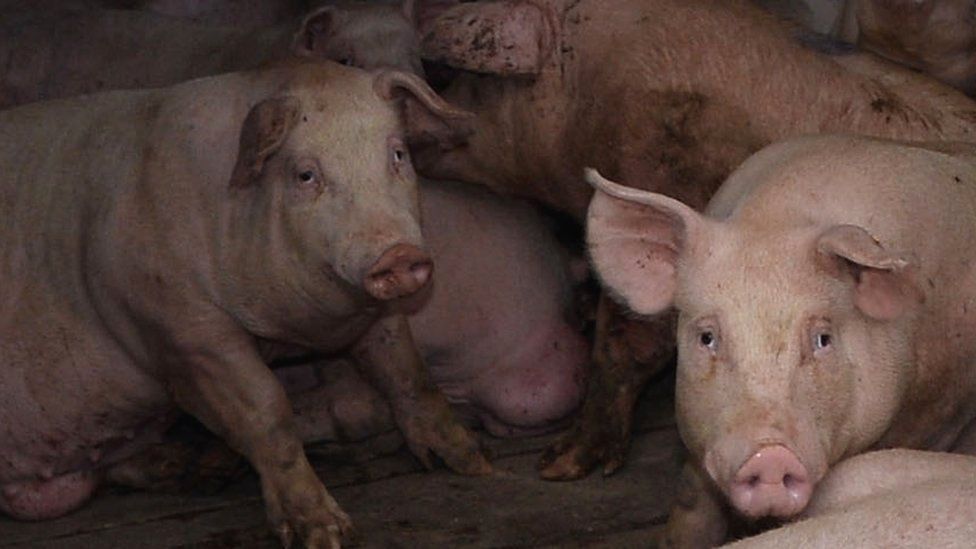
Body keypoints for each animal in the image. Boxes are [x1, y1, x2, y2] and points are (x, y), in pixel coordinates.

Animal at [0, 59, 490, 548]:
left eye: (398, 154)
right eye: (305, 175)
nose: (398, 254)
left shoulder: (376, 317)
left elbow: (407, 370)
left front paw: (472, 463)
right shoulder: (183, 332)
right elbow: (267, 413)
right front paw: (328, 534)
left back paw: (199, 468)